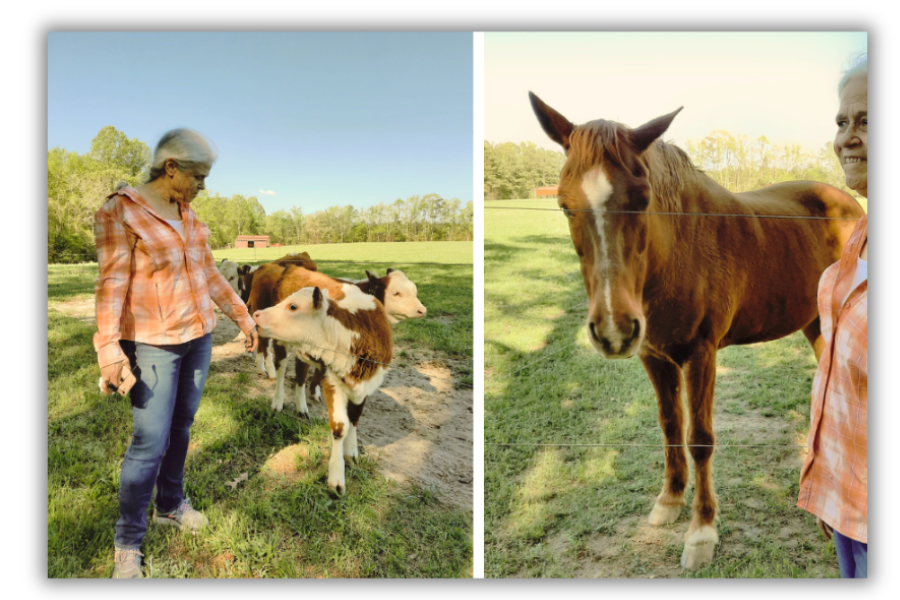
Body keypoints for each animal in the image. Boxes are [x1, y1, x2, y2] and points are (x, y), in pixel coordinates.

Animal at [253, 285, 392, 493]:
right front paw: (336, 478)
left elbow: (354, 419)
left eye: (293, 306)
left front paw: (352, 452)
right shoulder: (331, 381)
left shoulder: (366, 387)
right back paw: (277, 402)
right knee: (281, 368)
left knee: (300, 373)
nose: (256, 315)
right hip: (281, 342)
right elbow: (340, 427)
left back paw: (302, 408)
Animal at [529, 92, 863, 569]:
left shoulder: (701, 354)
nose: (613, 328)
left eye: (642, 198)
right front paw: (669, 501)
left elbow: (699, 438)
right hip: (817, 324)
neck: (677, 248)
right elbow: (671, 426)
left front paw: (701, 532)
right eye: (563, 204)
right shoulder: (654, 355)